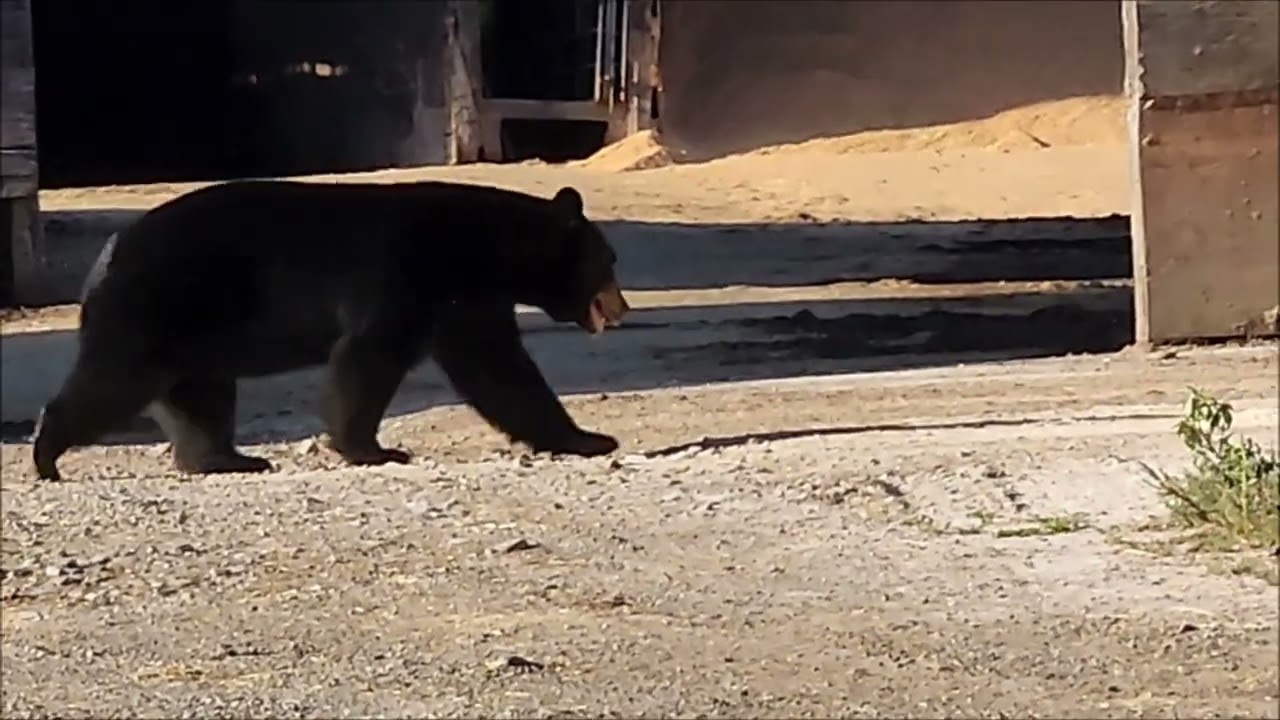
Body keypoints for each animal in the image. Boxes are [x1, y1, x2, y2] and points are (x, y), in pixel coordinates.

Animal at [32, 179, 630, 482]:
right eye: (610, 260)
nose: (622, 308)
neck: (488, 246)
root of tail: (106, 255)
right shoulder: (407, 269)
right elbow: (370, 354)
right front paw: (374, 449)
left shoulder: (470, 299)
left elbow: (500, 369)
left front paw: (589, 438)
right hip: (158, 305)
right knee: (116, 377)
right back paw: (48, 454)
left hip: (196, 328)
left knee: (200, 394)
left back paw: (229, 459)